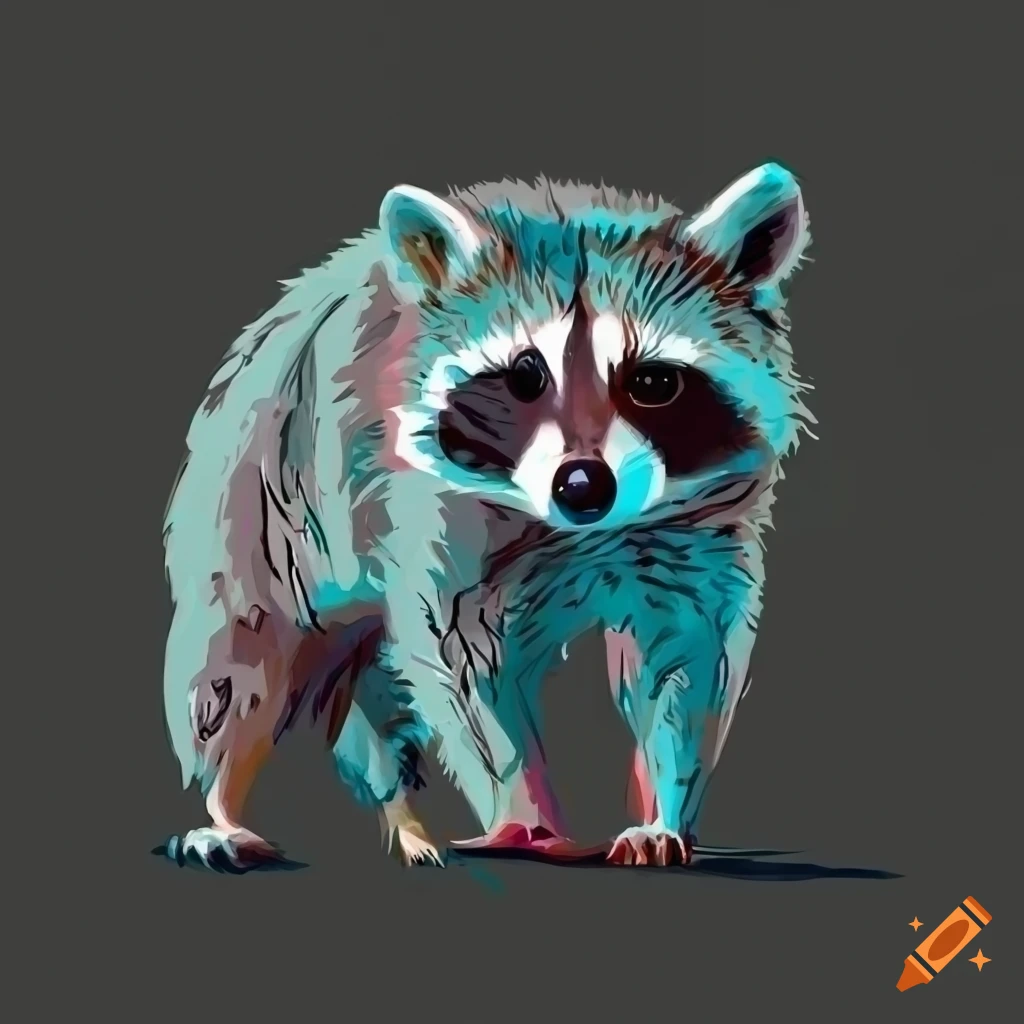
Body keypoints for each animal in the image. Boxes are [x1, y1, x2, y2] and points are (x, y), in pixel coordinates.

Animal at [160, 163, 813, 872]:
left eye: (653, 382)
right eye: (525, 377)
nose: (582, 486)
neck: (578, 531)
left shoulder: (687, 535)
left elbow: (684, 653)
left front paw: (664, 807)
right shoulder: (425, 507)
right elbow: (461, 660)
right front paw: (522, 806)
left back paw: (403, 820)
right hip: (256, 498)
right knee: (241, 656)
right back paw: (224, 803)